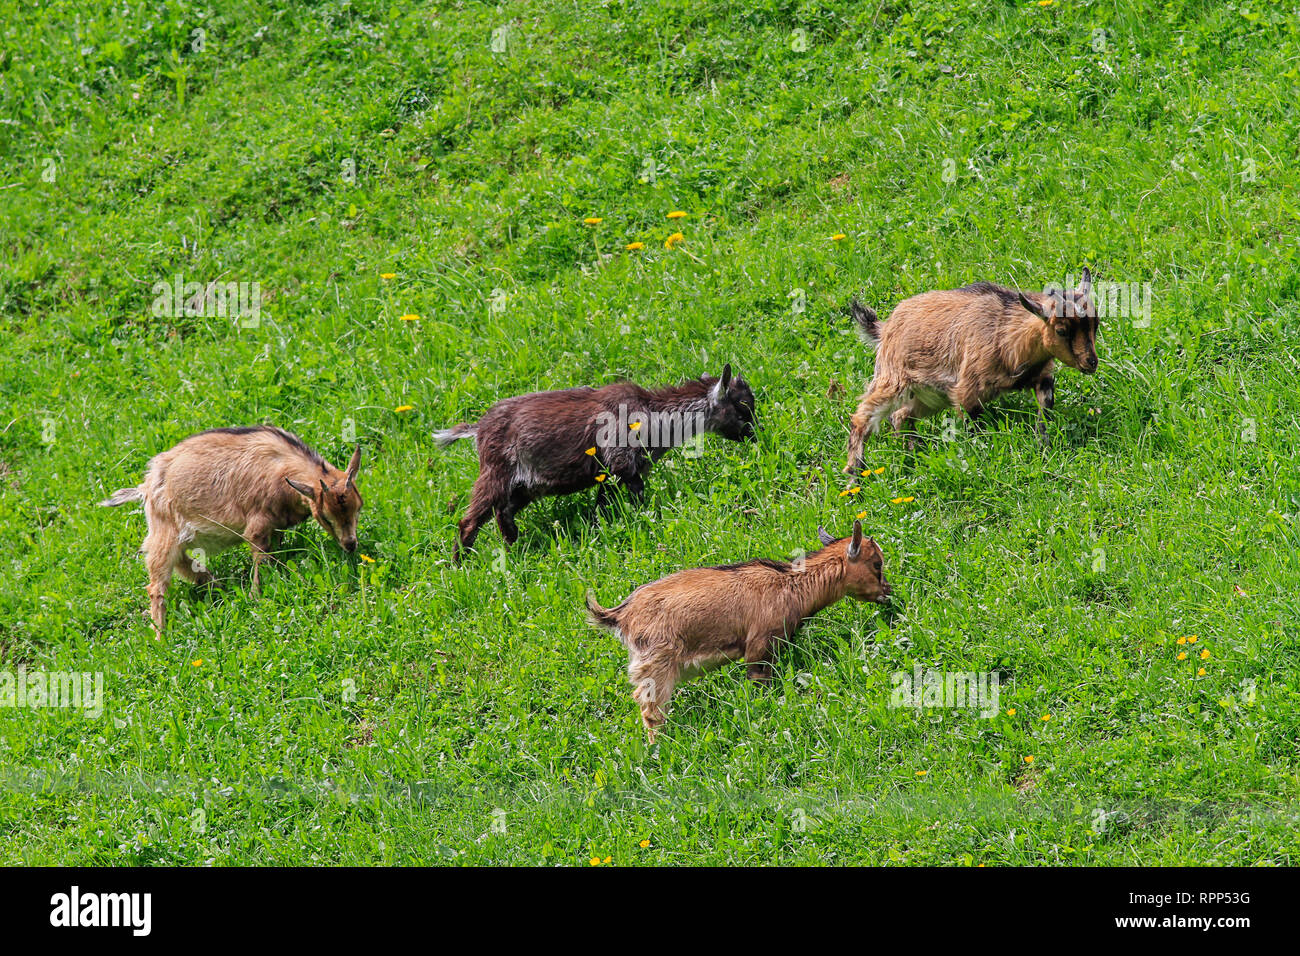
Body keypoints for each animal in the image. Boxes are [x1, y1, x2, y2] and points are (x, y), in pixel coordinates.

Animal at [99, 426, 363, 636]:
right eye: (326, 517)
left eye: (358, 506)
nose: (350, 544)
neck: (281, 468)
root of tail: (146, 485)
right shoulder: (257, 524)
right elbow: (261, 560)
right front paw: (256, 596)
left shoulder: (276, 526)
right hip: (164, 533)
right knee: (157, 585)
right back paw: (161, 636)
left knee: (183, 562)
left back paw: (215, 584)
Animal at [434, 364, 756, 562]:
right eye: (742, 406)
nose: (755, 435)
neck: (653, 416)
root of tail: (478, 429)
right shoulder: (623, 466)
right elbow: (639, 502)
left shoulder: (609, 475)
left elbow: (600, 510)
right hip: (495, 474)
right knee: (469, 521)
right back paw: (459, 565)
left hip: (524, 487)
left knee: (503, 514)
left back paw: (513, 550)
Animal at [585, 520, 890, 741]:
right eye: (877, 563)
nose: (888, 592)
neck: (791, 585)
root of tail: (622, 614)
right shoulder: (759, 646)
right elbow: (758, 684)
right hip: (656, 664)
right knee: (650, 709)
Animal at [843, 269, 1098, 472]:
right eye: (1061, 330)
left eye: (1096, 324)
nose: (1091, 362)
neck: (1006, 332)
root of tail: (885, 328)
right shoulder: (967, 389)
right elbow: (973, 425)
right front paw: (979, 453)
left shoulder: (1040, 376)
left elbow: (1046, 405)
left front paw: (1042, 442)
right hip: (892, 379)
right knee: (861, 417)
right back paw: (854, 476)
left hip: (929, 396)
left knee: (901, 416)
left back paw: (913, 452)